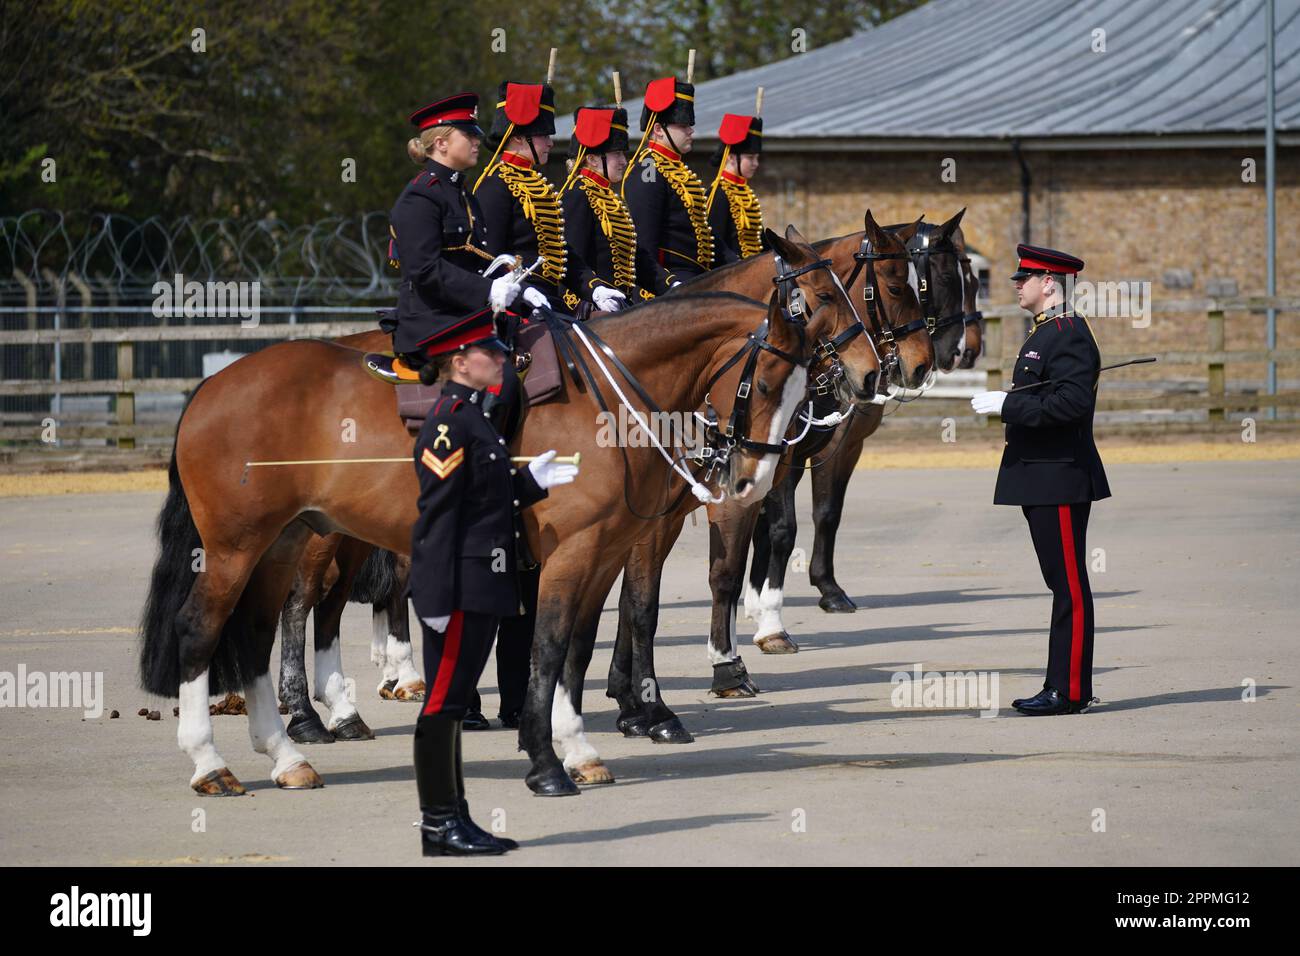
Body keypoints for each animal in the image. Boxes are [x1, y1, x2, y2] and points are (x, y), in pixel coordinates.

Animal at [137, 243, 845, 796]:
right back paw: (214, 761)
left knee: (256, 633)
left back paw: (287, 756)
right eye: (766, 380)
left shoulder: (605, 551)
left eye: (797, 387)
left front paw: (576, 746)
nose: (753, 481)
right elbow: (550, 645)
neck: (610, 397)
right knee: (203, 629)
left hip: (284, 541)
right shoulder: (573, 552)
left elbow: (578, 648)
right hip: (238, 546)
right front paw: (547, 761)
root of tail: (211, 386)